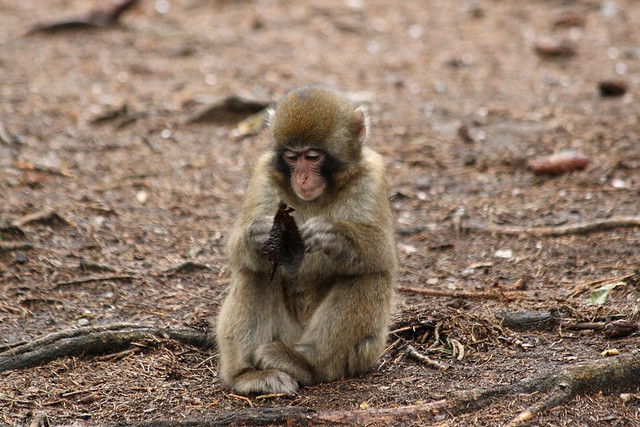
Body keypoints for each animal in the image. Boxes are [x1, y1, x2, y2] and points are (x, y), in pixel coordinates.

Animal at [216, 85, 397, 395]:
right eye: (291, 157)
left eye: (312, 157)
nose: (300, 178)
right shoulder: (263, 175)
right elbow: (238, 251)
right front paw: (258, 233)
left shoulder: (371, 177)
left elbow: (384, 254)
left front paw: (333, 235)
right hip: (284, 330)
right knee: (254, 272)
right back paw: (247, 375)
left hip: (359, 354)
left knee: (369, 275)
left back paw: (306, 363)